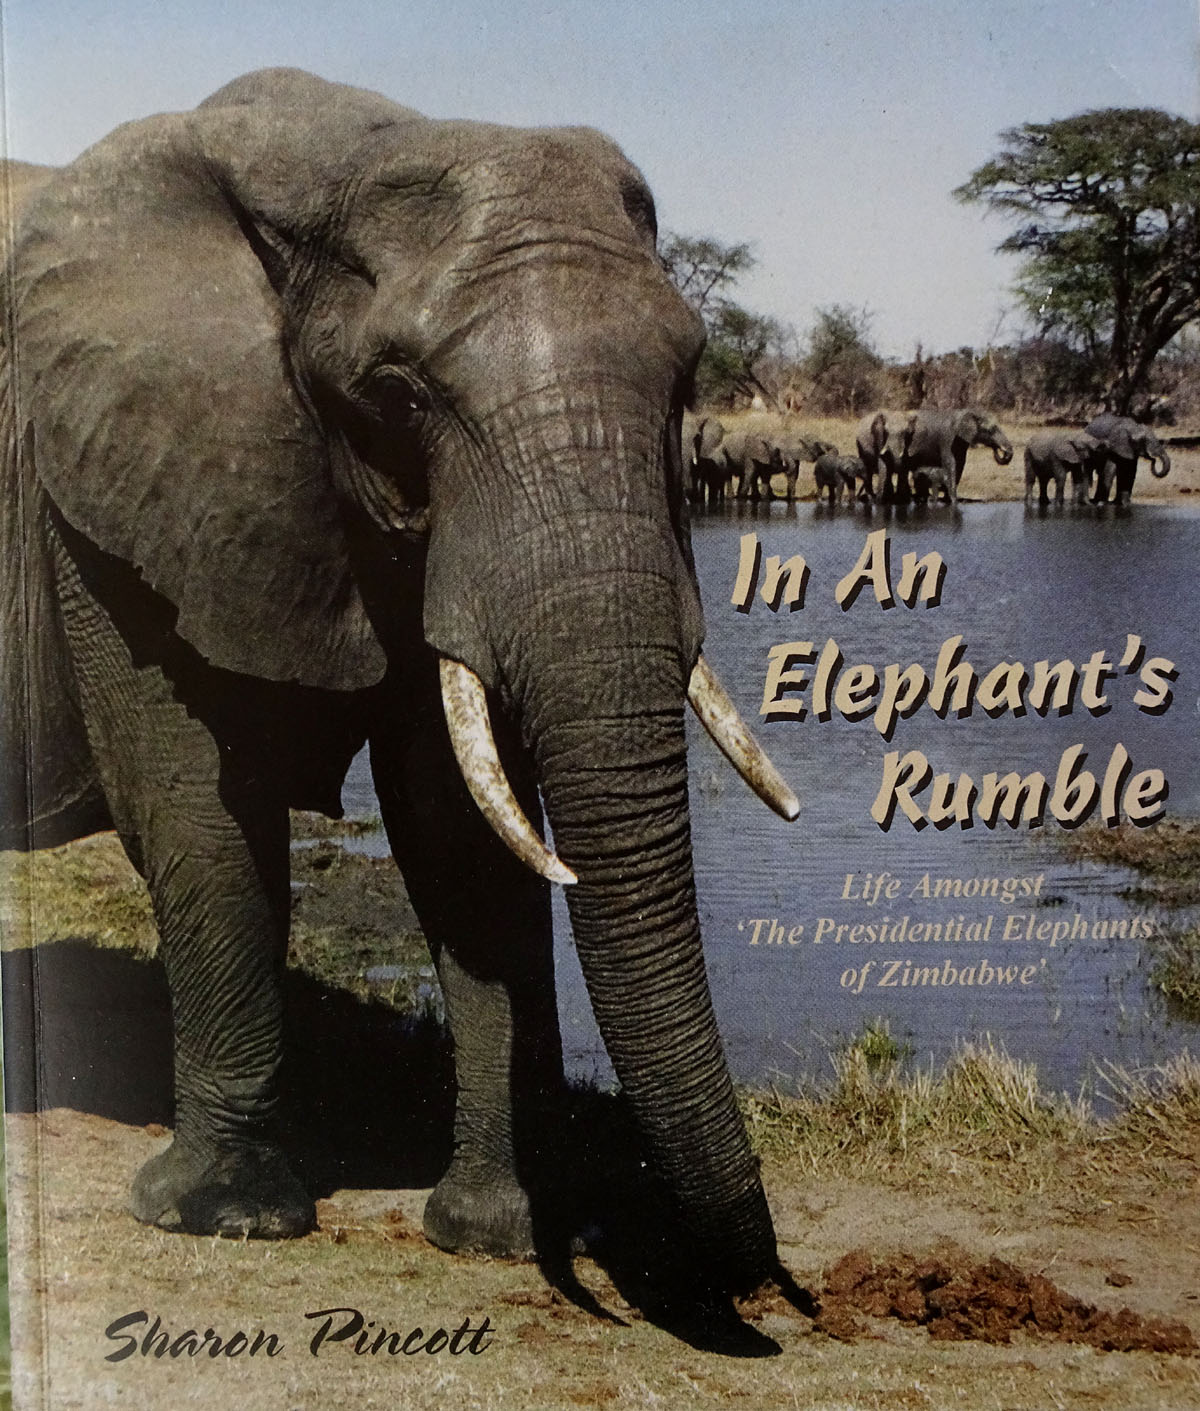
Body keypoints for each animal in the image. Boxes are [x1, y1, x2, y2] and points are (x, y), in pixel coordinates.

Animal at [0, 70, 802, 1310]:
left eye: (687, 377)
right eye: (398, 393)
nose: (756, 1279)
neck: (334, 159)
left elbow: (462, 834)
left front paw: (496, 1230)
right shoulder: (101, 492)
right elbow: (195, 811)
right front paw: (227, 1215)